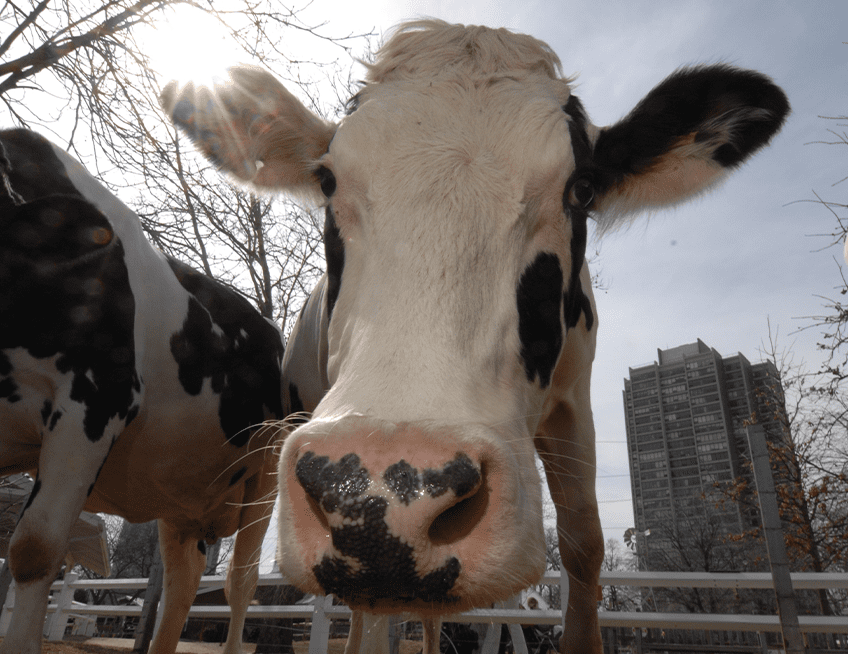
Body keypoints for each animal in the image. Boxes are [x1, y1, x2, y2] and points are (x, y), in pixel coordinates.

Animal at [0, 128, 287, 654]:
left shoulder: (96, 401)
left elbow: (34, 549)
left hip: (266, 473)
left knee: (240, 581)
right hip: (180, 491)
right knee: (182, 581)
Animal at [162, 20, 789, 654]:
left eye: (583, 188)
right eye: (327, 180)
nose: (389, 493)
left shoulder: (574, 401)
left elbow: (584, 544)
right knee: (243, 580)